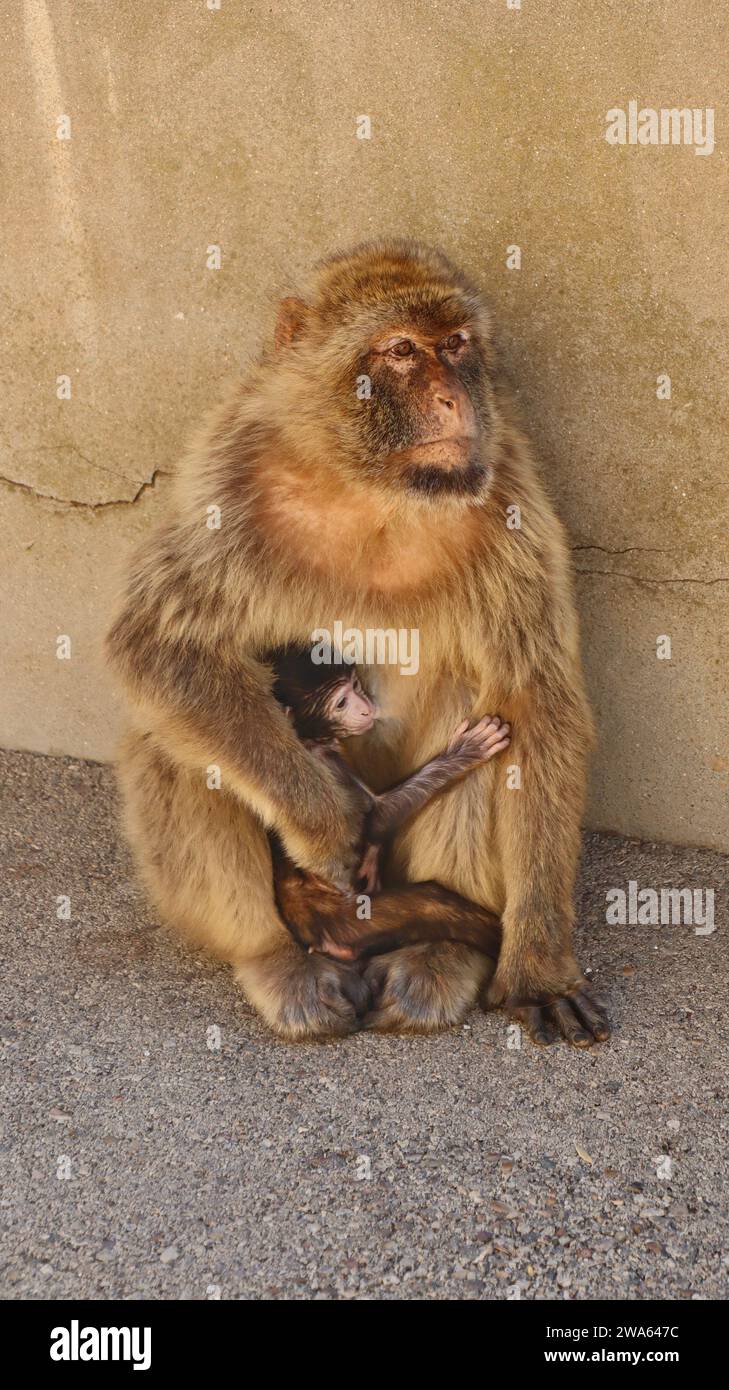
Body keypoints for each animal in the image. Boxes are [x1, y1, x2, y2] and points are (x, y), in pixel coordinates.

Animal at [267, 646, 509, 963]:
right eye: (341, 703)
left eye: (355, 685)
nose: (365, 708)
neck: (309, 739)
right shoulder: (326, 766)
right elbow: (371, 821)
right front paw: (463, 752)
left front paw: (372, 860)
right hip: (349, 919)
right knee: (433, 904)